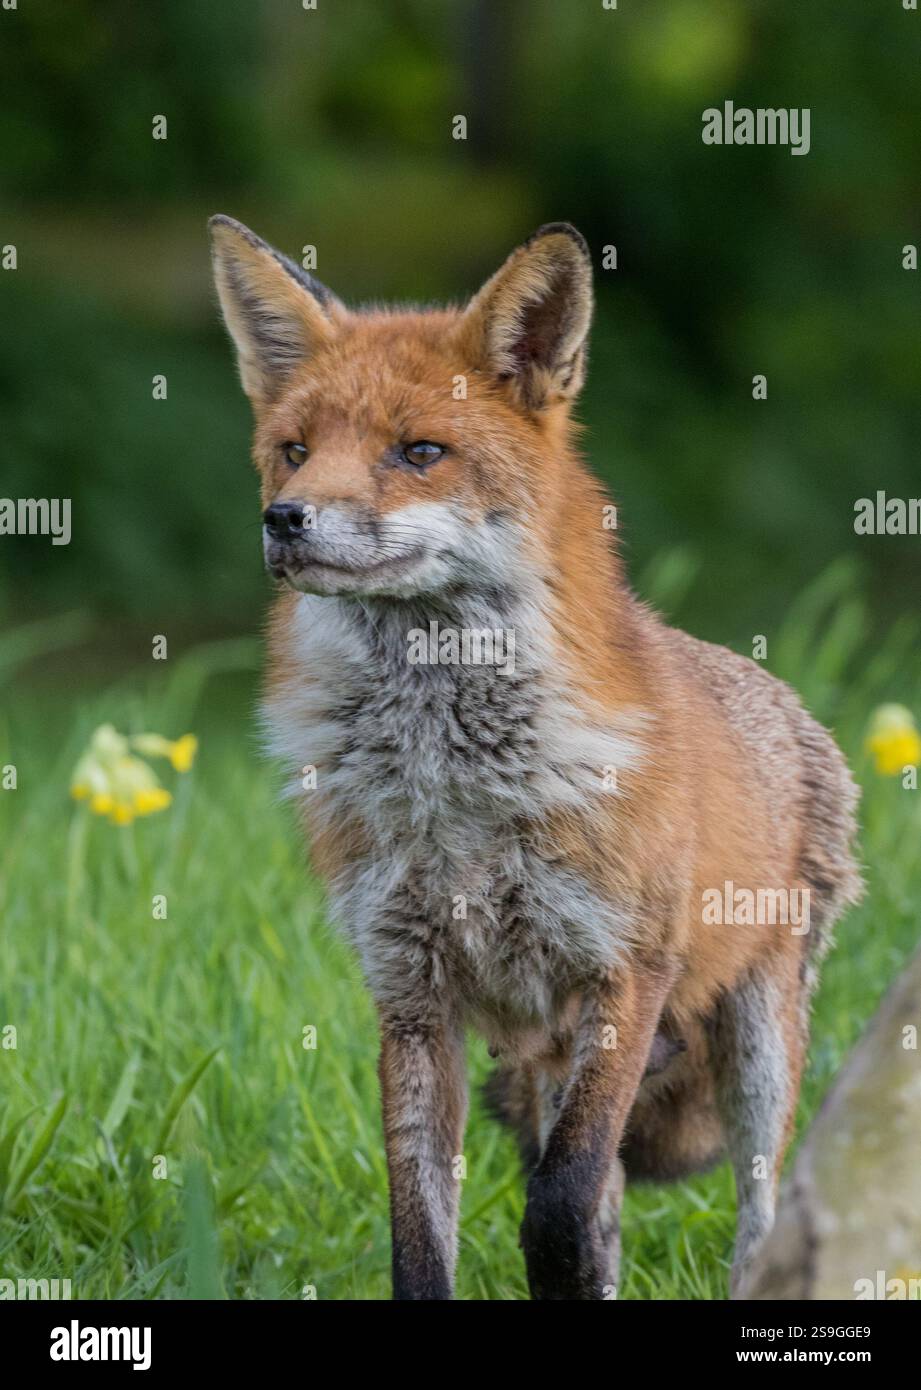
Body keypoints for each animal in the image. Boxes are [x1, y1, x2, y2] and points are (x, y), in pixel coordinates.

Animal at [209, 215, 862, 1301]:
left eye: (419, 452)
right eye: (294, 453)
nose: (284, 518)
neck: (452, 783)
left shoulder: (624, 970)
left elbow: (559, 1200)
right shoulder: (410, 993)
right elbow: (422, 1232)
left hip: (758, 1039)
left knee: (755, 1210)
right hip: (552, 1051)